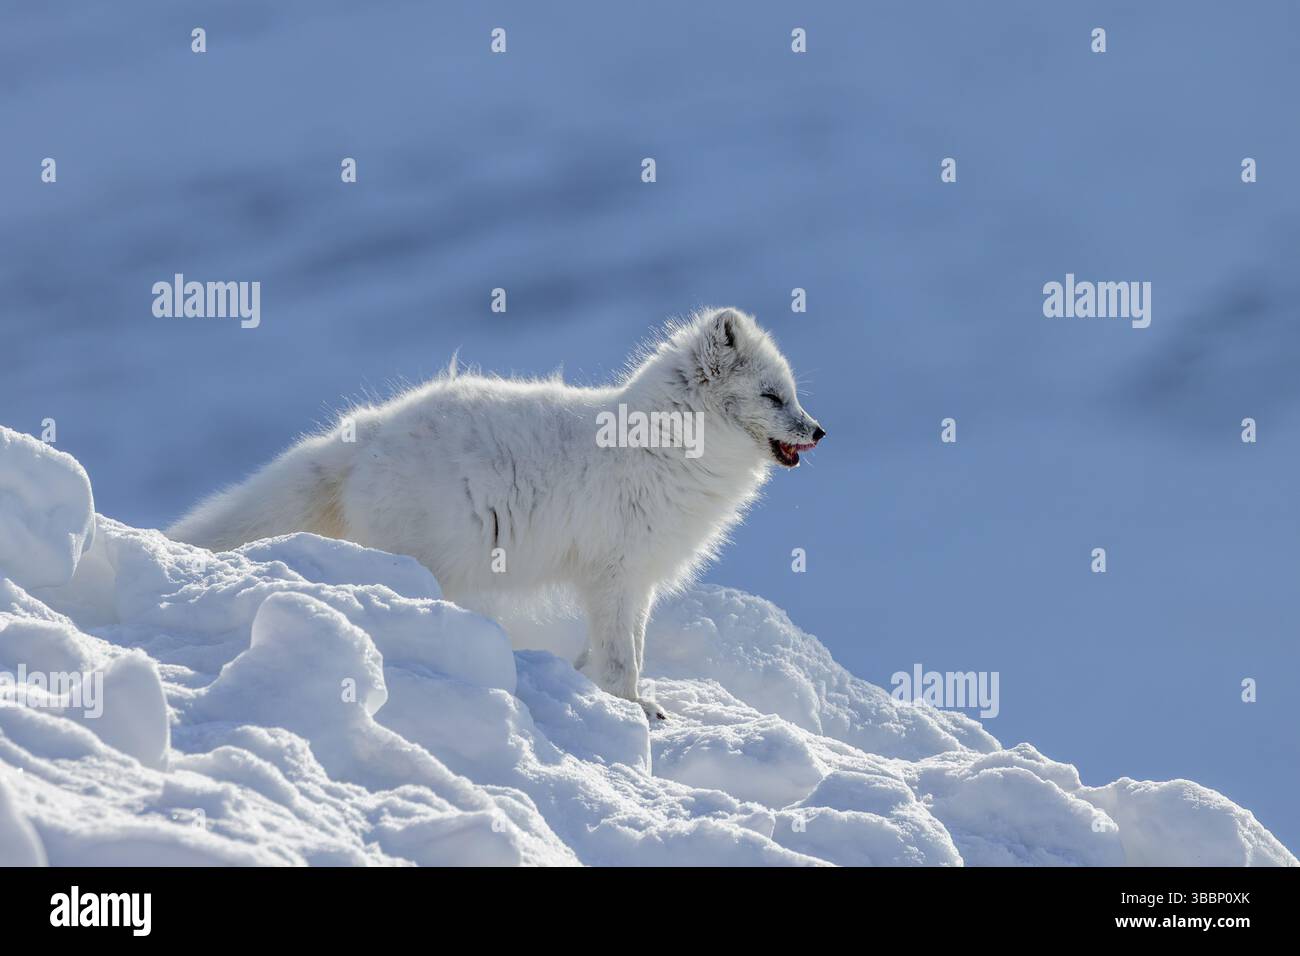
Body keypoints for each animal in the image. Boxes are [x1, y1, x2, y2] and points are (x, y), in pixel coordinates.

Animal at [168, 307, 825, 720]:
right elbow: (622, 659)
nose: (819, 430)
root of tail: (366, 434)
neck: (668, 443)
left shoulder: (635, 582)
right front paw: (633, 710)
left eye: (791, 394)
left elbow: (618, 649)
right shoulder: (614, 574)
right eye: (772, 396)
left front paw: (610, 692)